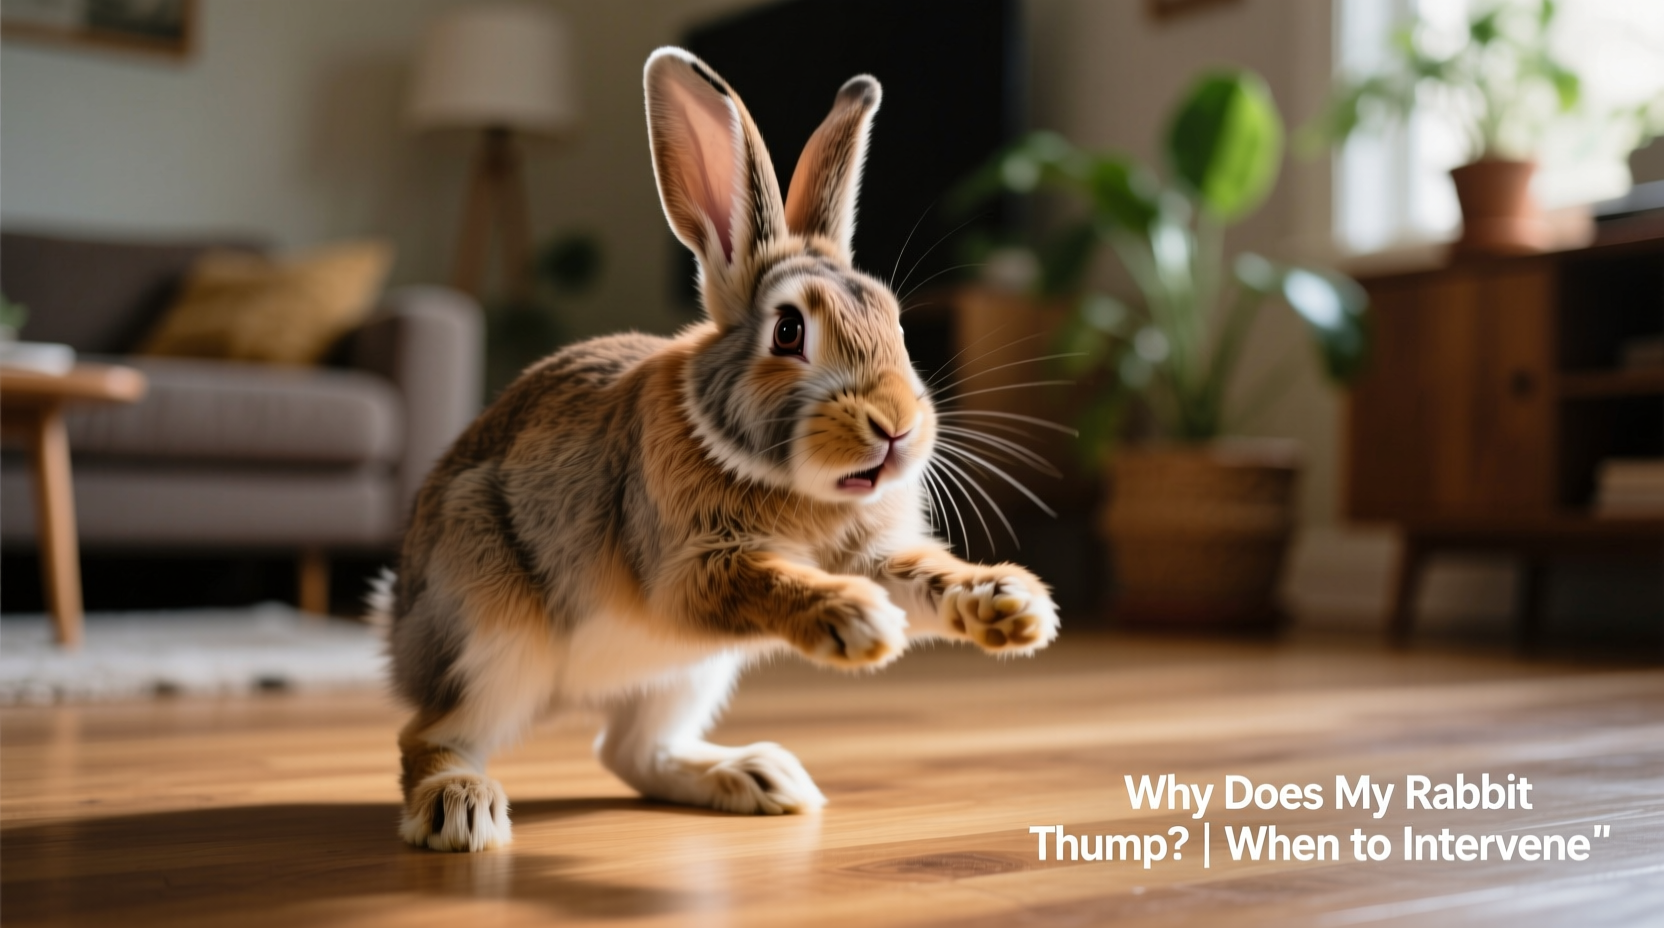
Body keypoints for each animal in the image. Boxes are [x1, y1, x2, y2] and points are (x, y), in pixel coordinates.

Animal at [381, 47, 1060, 853]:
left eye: (896, 322)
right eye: (789, 331)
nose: (896, 426)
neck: (792, 484)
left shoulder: (870, 552)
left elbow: (922, 579)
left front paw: (1013, 609)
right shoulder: (688, 567)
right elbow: (766, 579)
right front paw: (856, 622)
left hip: (685, 677)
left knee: (630, 750)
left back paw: (759, 778)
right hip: (488, 631)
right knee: (432, 733)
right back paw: (461, 809)